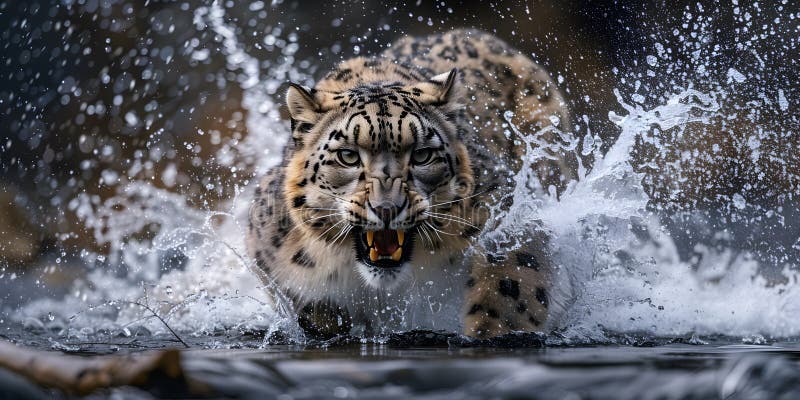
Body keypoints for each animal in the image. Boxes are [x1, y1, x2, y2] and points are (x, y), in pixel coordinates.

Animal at [246, 29, 576, 339]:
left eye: (422, 154)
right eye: (348, 156)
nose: (387, 208)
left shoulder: (506, 212)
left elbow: (512, 278)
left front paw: (491, 331)